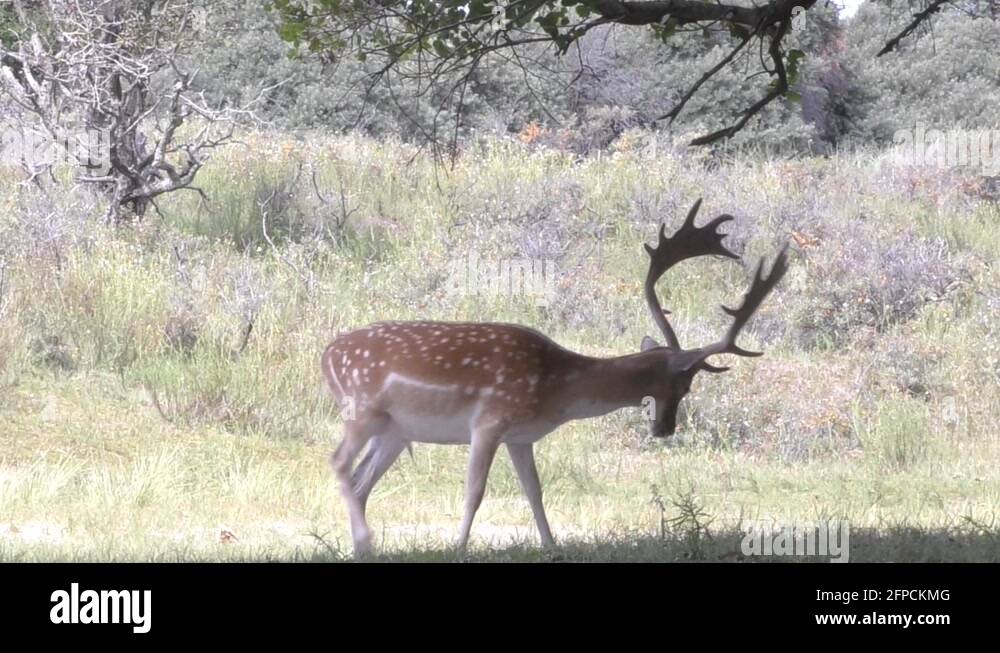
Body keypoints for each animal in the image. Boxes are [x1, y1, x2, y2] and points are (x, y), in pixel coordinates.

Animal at [321, 199, 789, 556]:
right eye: (684, 385)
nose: (665, 429)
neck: (559, 390)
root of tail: (326, 356)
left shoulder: (521, 436)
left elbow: (535, 490)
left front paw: (551, 546)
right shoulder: (490, 420)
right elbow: (475, 490)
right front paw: (459, 548)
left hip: (395, 431)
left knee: (360, 482)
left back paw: (362, 547)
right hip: (361, 410)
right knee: (339, 463)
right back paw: (365, 540)